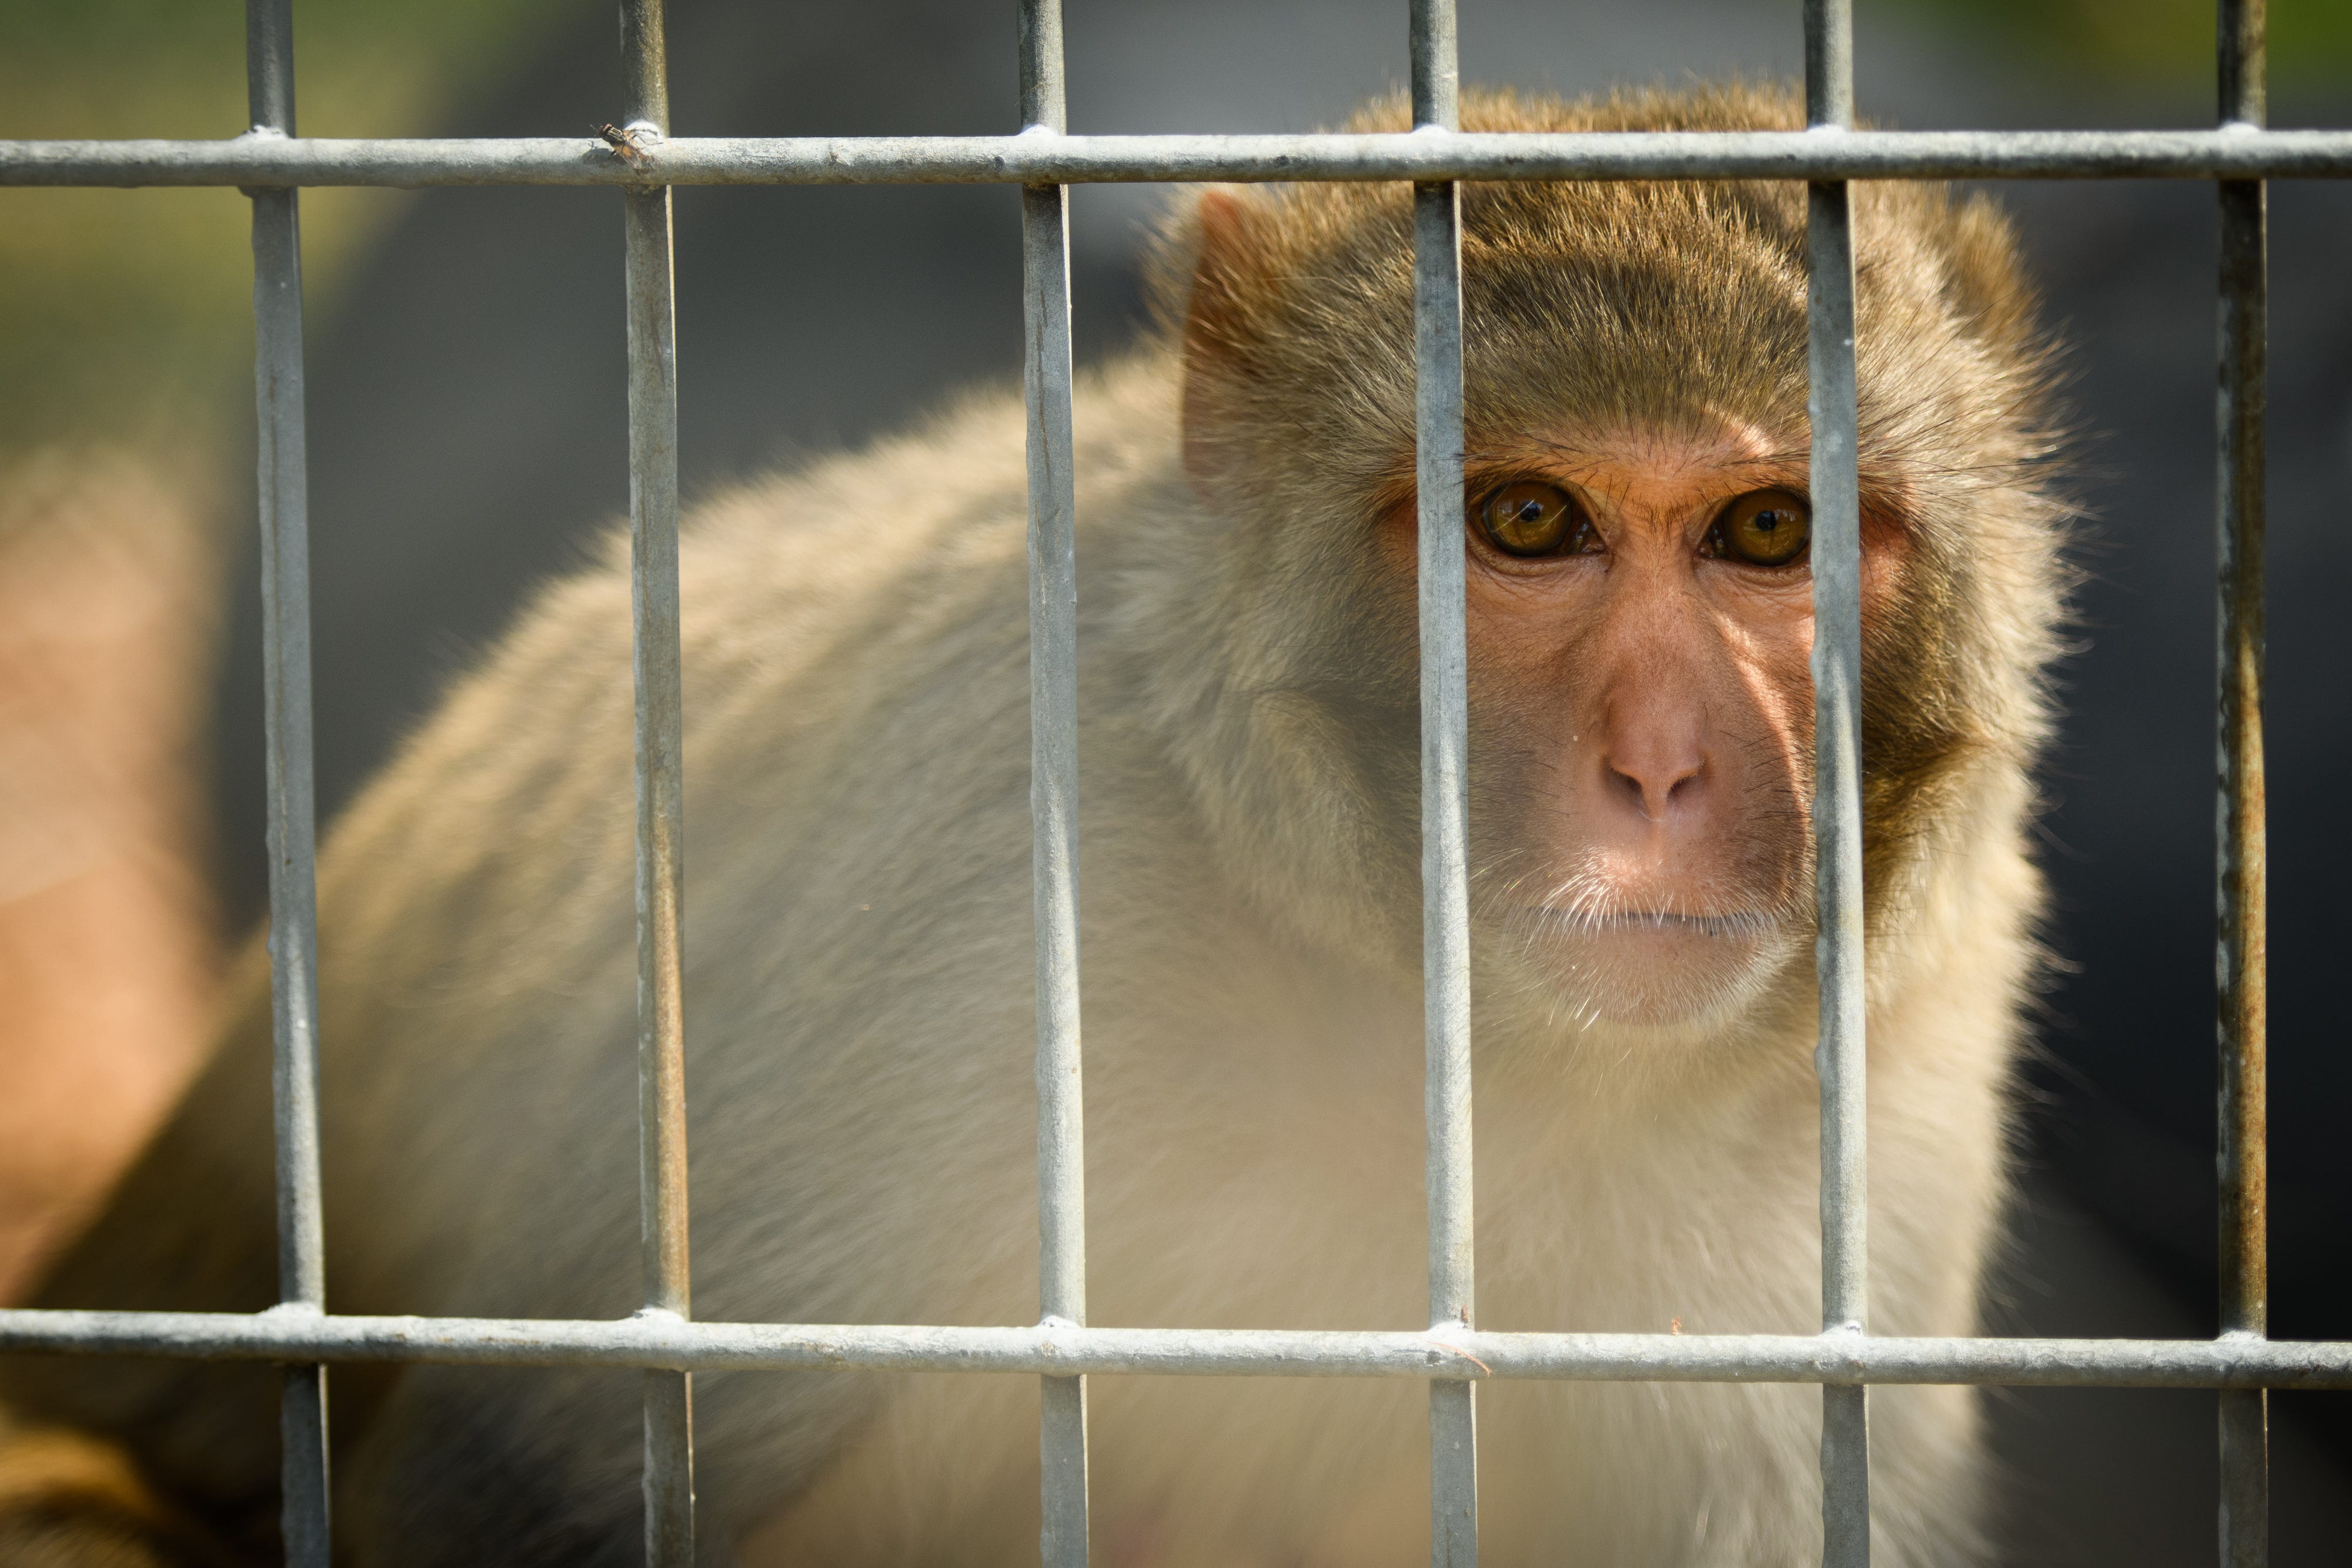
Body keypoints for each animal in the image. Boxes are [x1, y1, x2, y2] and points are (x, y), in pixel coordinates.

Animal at [0, 81, 2065, 1566]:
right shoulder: (995, 900)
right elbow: (518, 1487)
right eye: (1530, 523)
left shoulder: (1896, 1047)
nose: (1662, 767)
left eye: (1772, 531)